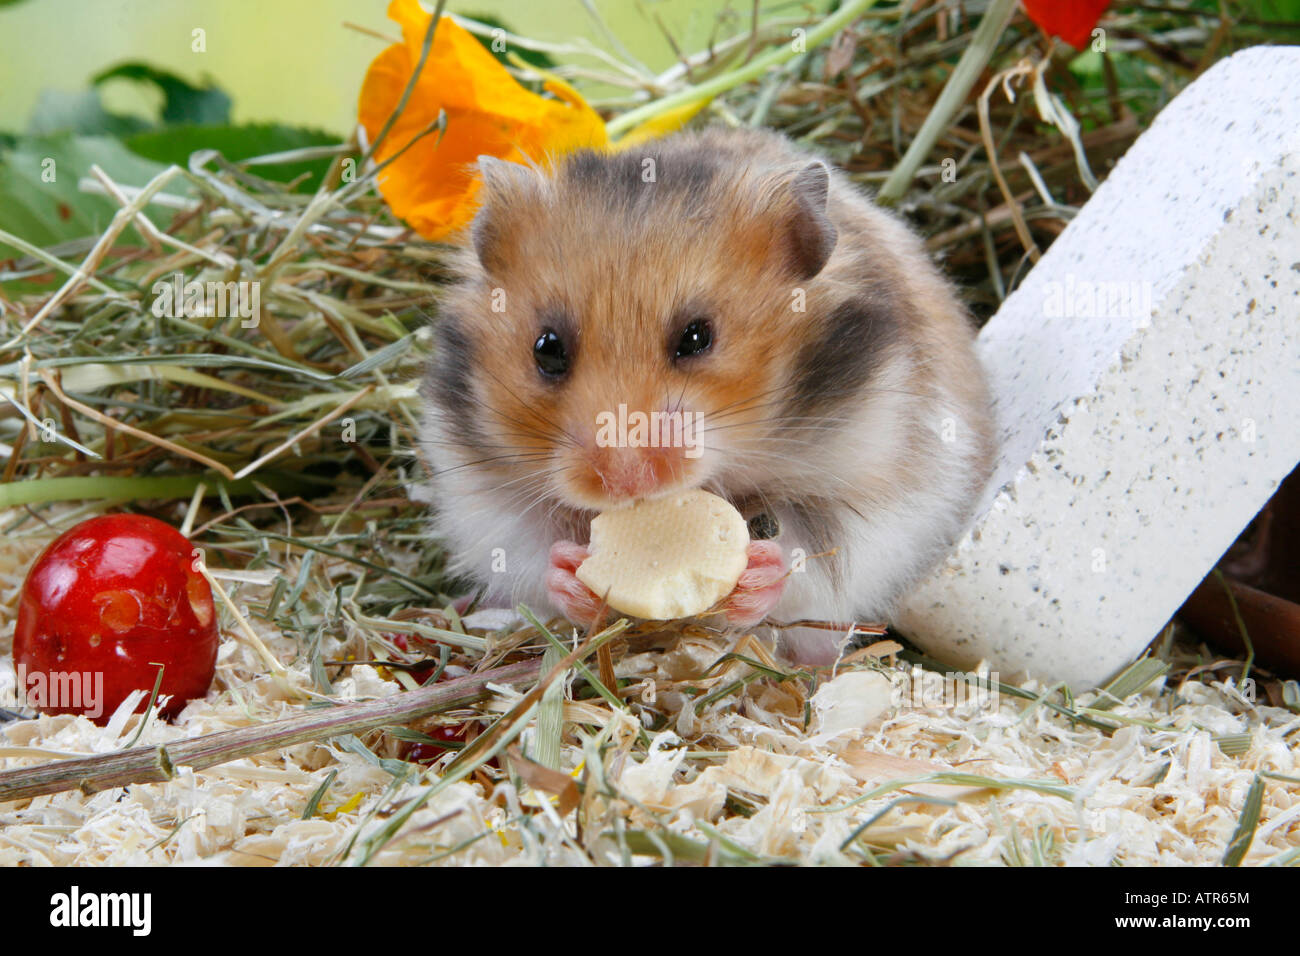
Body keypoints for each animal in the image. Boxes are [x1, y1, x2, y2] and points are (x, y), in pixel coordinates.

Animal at [418, 126, 995, 664]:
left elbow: (812, 558)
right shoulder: (483, 501)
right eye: (547, 349)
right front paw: (571, 569)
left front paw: (760, 571)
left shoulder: (885, 489)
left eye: (697, 338)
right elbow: (531, 552)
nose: (625, 483)